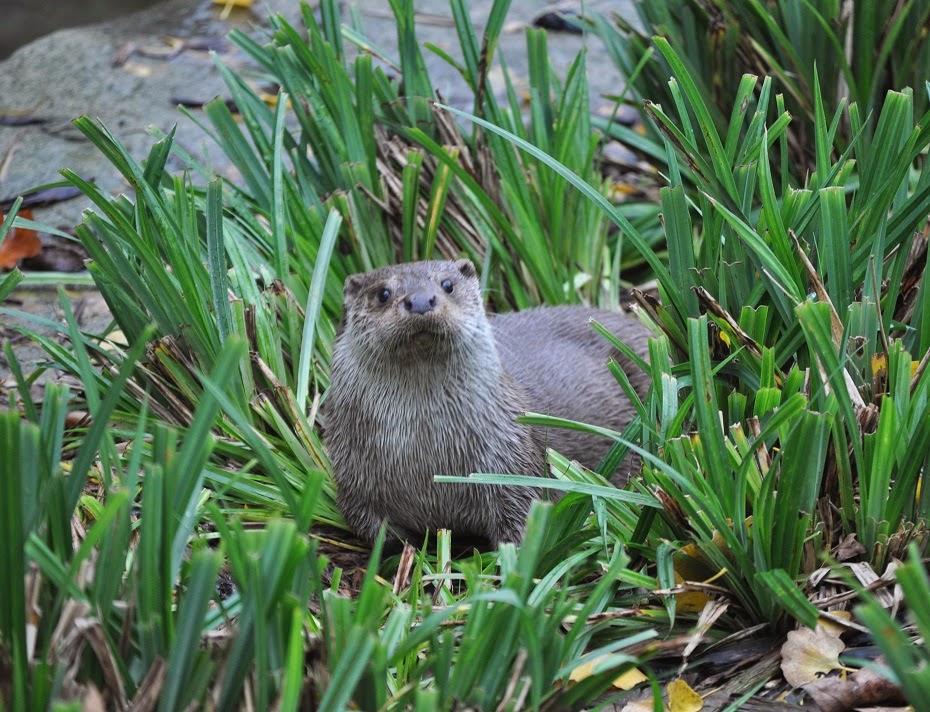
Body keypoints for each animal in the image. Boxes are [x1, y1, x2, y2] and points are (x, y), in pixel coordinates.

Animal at [323, 259, 650, 546]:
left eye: (448, 284)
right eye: (383, 293)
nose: (420, 301)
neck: (427, 463)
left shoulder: (513, 466)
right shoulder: (356, 486)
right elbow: (376, 531)